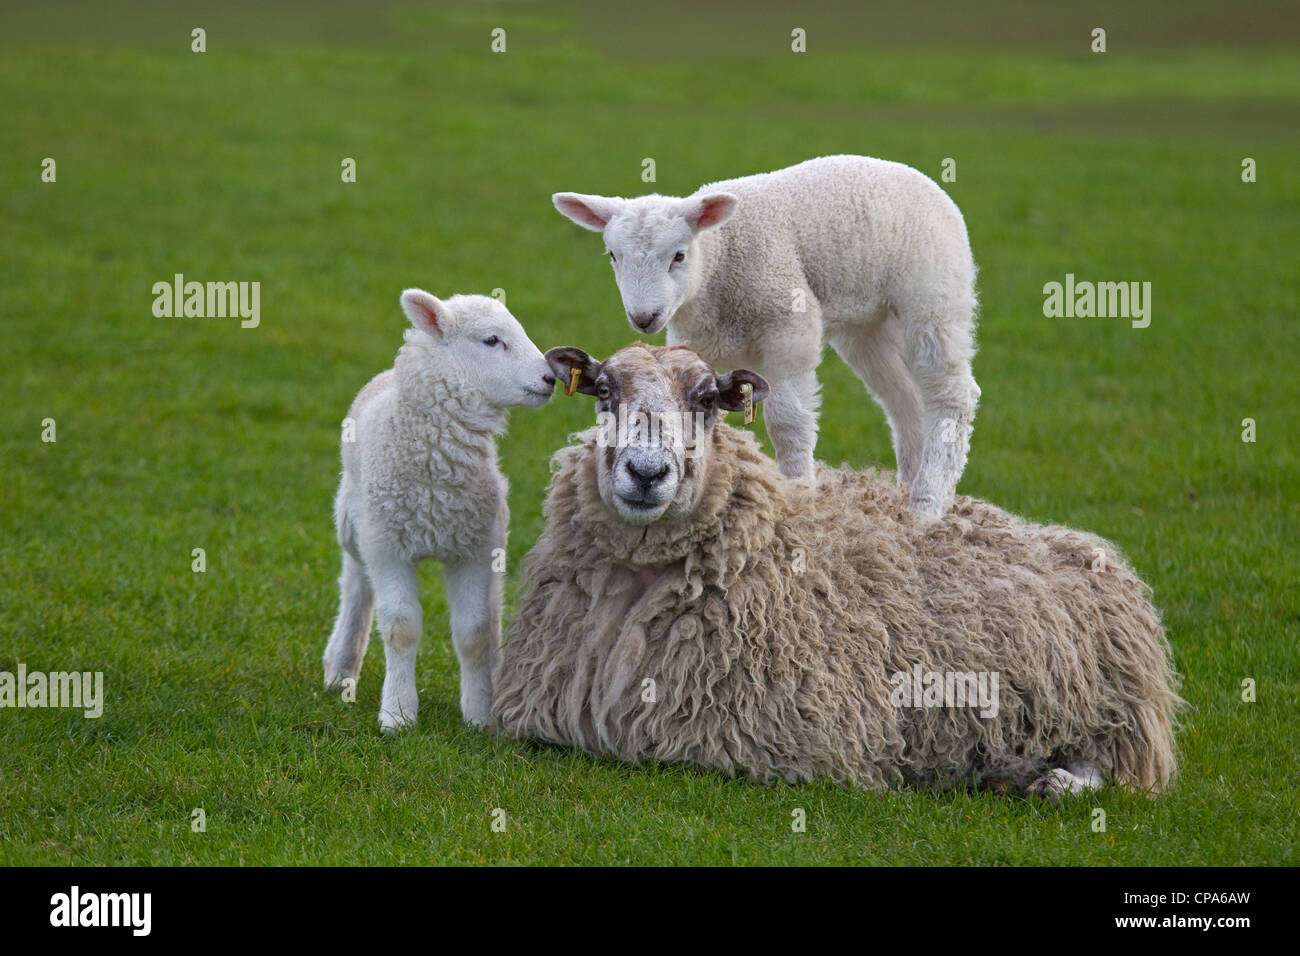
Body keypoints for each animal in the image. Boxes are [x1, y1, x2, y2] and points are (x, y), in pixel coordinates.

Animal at [323, 289, 555, 733]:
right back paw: (340, 668)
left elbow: (474, 632)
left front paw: (480, 714)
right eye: (491, 340)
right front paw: (398, 713)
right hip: (355, 522)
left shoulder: (474, 550)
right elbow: (401, 627)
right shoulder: (388, 548)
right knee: (357, 587)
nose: (551, 378)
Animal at [492, 343, 1182, 798]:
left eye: (709, 400)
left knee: (1114, 766)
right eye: (604, 390)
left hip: (1103, 704)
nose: (645, 472)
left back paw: (1049, 780)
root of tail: (1078, 545)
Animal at [552, 154, 981, 517]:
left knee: (951, 395)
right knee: (904, 400)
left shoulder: (789, 327)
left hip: (936, 293)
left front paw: (800, 490)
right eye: (613, 256)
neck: (717, 264)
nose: (644, 317)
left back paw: (927, 504)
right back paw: (906, 495)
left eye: (679, 256)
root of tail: (920, 177)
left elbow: (788, 423)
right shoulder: (700, 342)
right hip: (868, 322)